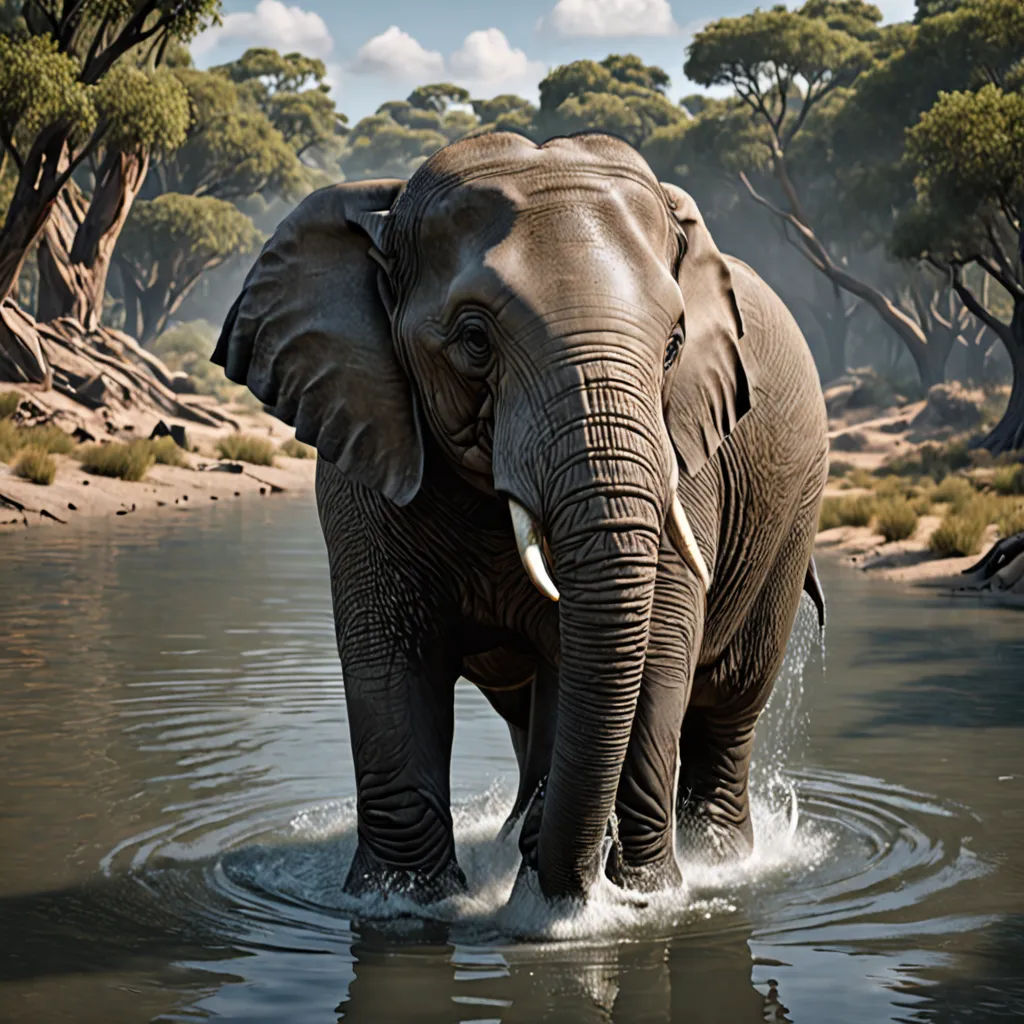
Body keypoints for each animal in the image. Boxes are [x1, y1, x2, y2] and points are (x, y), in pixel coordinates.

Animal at [213, 131, 828, 906]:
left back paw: (711, 861)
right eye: (475, 340)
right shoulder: (364, 434)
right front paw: (403, 901)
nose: (558, 878)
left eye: (673, 346)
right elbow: (389, 657)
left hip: (794, 509)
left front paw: (620, 897)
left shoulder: (686, 451)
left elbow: (638, 652)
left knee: (727, 699)